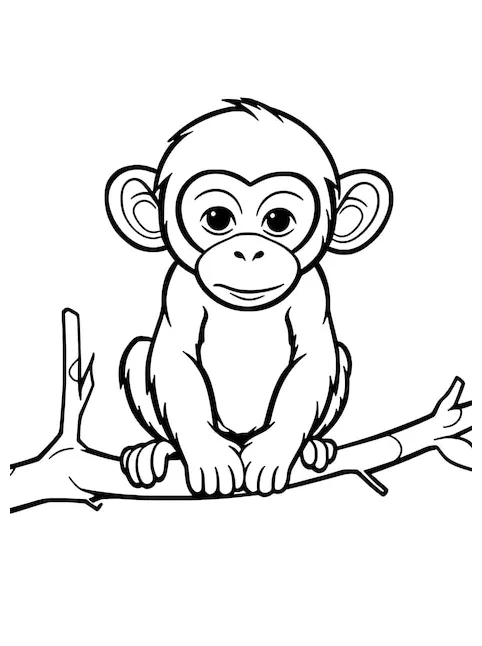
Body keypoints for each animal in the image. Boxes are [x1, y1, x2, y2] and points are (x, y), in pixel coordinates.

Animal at [105, 98, 393, 496]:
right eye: (217, 218)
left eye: (278, 220)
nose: (249, 252)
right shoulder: (179, 287)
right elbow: (176, 360)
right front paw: (207, 455)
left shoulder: (313, 290)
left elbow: (313, 360)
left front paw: (274, 452)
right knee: (138, 352)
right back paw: (155, 450)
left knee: (341, 356)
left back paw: (314, 447)